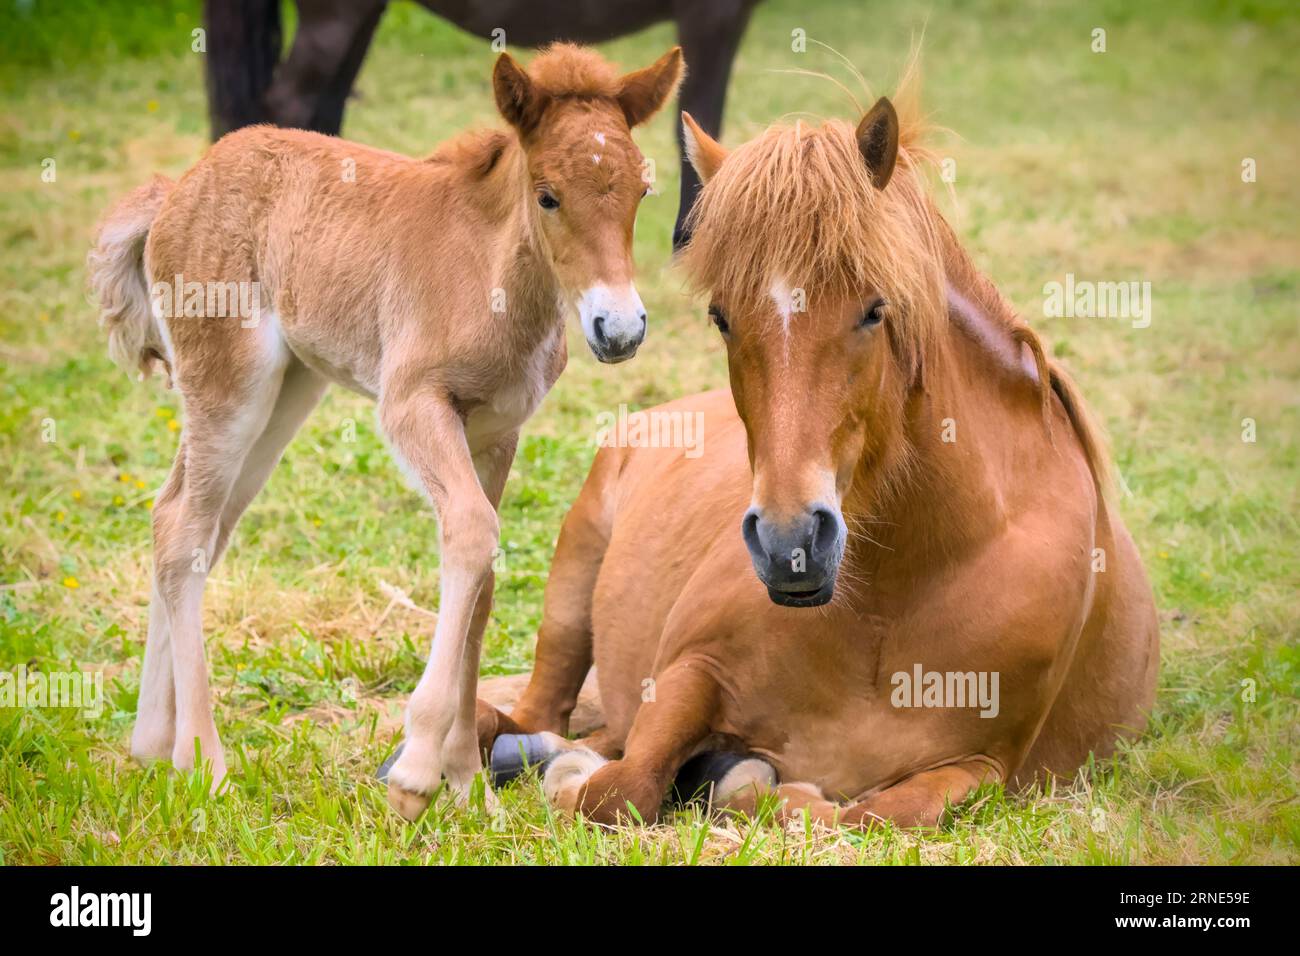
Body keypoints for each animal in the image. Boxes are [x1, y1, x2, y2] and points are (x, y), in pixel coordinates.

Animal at [88, 43, 683, 820]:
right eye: (548, 194)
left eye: (643, 191)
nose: (619, 329)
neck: (489, 272)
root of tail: (176, 189)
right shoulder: (412, 405)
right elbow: (471, 532)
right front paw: (418, 772)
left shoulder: (496, 431)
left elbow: (484, 575)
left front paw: (466, 784)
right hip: (230, 383)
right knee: (186, 530)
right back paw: (205, 763)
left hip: (285, 393)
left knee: (181, 521)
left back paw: (153, 744)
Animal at [473, 84, 1160, 828]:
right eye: (722, 316)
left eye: (874, 310)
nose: (790, 544)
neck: (900, 596)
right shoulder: (691, 671)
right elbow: (618, 789)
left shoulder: (982, 768)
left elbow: (855, 811)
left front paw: (734, 778)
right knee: (533, 715)